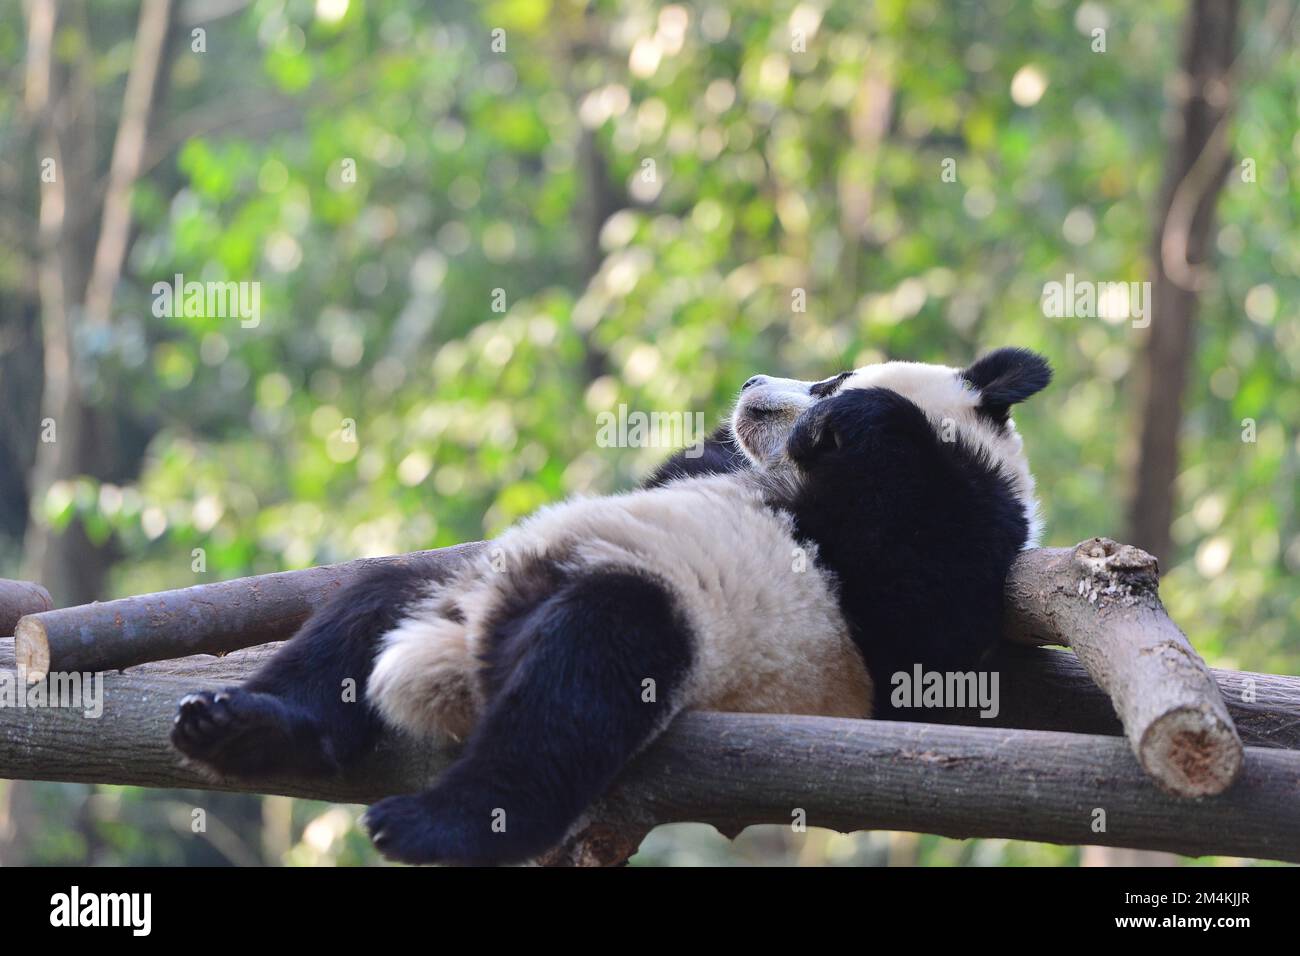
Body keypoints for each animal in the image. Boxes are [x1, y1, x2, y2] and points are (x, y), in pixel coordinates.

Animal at [170, 346, 1051, 865]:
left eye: (828, 379)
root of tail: (460, 658)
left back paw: (438, 824)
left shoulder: (964, 541)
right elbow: (684, 471)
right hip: (455, 589)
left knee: (581, 678)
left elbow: (923, 641)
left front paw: (858, 422)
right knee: (364, 607)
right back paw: (243, 726)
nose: (752, 386)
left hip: (674, 627)